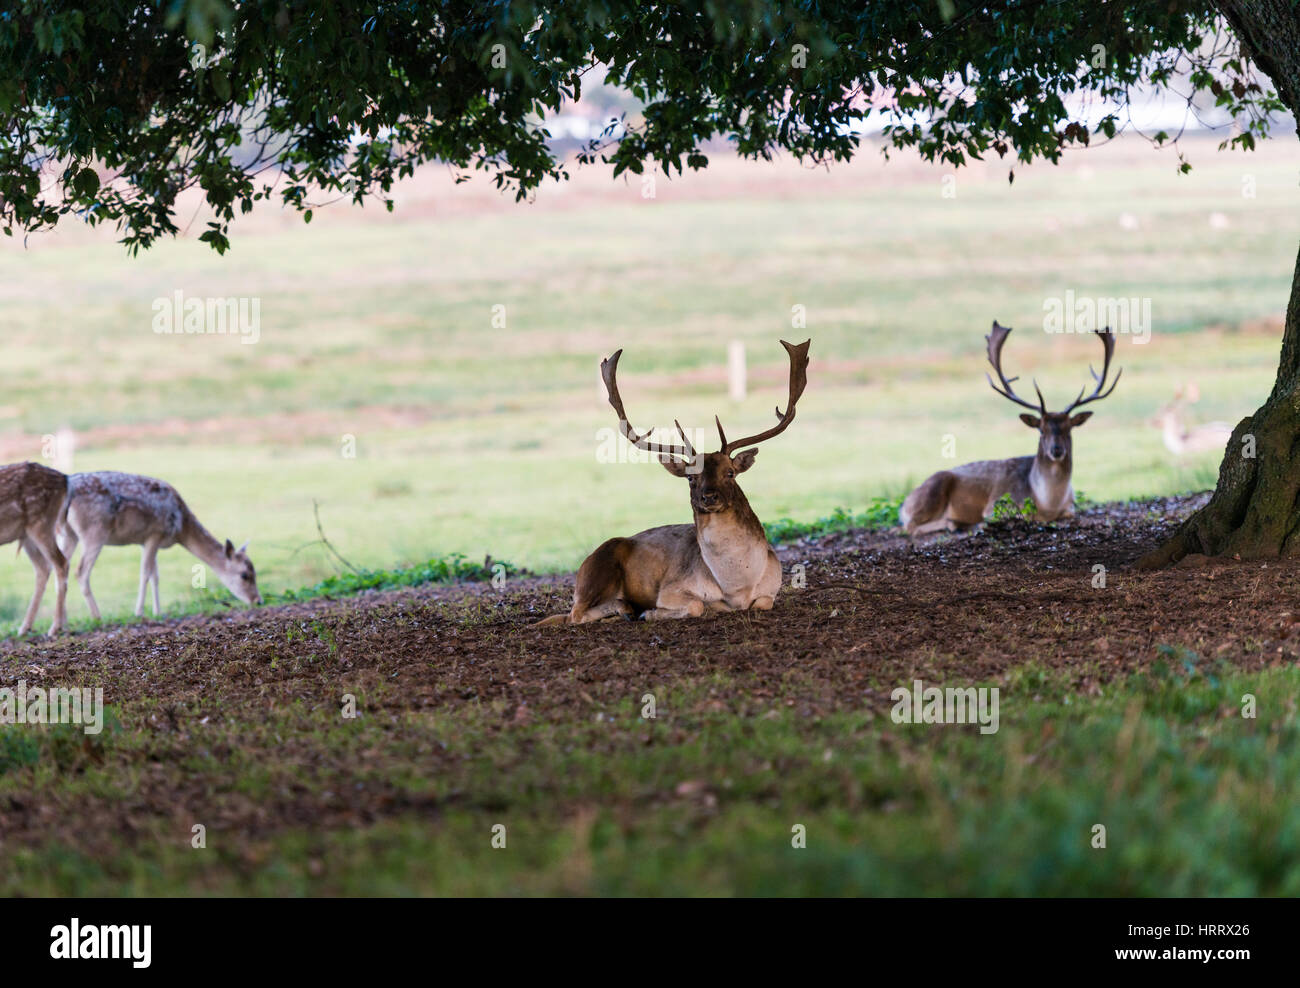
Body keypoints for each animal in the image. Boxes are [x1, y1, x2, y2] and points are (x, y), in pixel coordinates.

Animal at [0, 461, 70, 636]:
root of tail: (65, 480)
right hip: (26, 533)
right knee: (43, 568)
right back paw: (24, 628)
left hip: (40, 522)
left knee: (61, 562)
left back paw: (55, 627)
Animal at [56, 471, 262, 620]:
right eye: (245, 575)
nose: (258, 601)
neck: (180, 528)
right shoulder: (154, 534)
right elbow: (145, 573)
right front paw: (139, 612)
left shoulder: (146, 541)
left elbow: (155, 575)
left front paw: (158, 611)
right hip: (94, 532)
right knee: (80, 572)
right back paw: (96, 616)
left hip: (68, 534)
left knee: (61, 567)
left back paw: (62, 622)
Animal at [535, 339, 810, 625]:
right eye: (691, 477)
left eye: (730, 472)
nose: (709, 497)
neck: (738, 586)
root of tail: (583, 566)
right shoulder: (672, 589)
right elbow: (696, 605)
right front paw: (650, 612)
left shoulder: (771, 588)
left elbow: (763, 603)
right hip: (596, 570)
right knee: (574, 614)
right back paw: (626, 608)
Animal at [900, 321, 1120, 536]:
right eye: (1041, 429)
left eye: (1069, 429)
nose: (1056, 450)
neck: (1048, 503)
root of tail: (904, 503)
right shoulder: (995, 504)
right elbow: (1018, 517)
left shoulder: (1070, 506)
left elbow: (1068, 514)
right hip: (933, 489)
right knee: (910, 526)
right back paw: (955, 523)